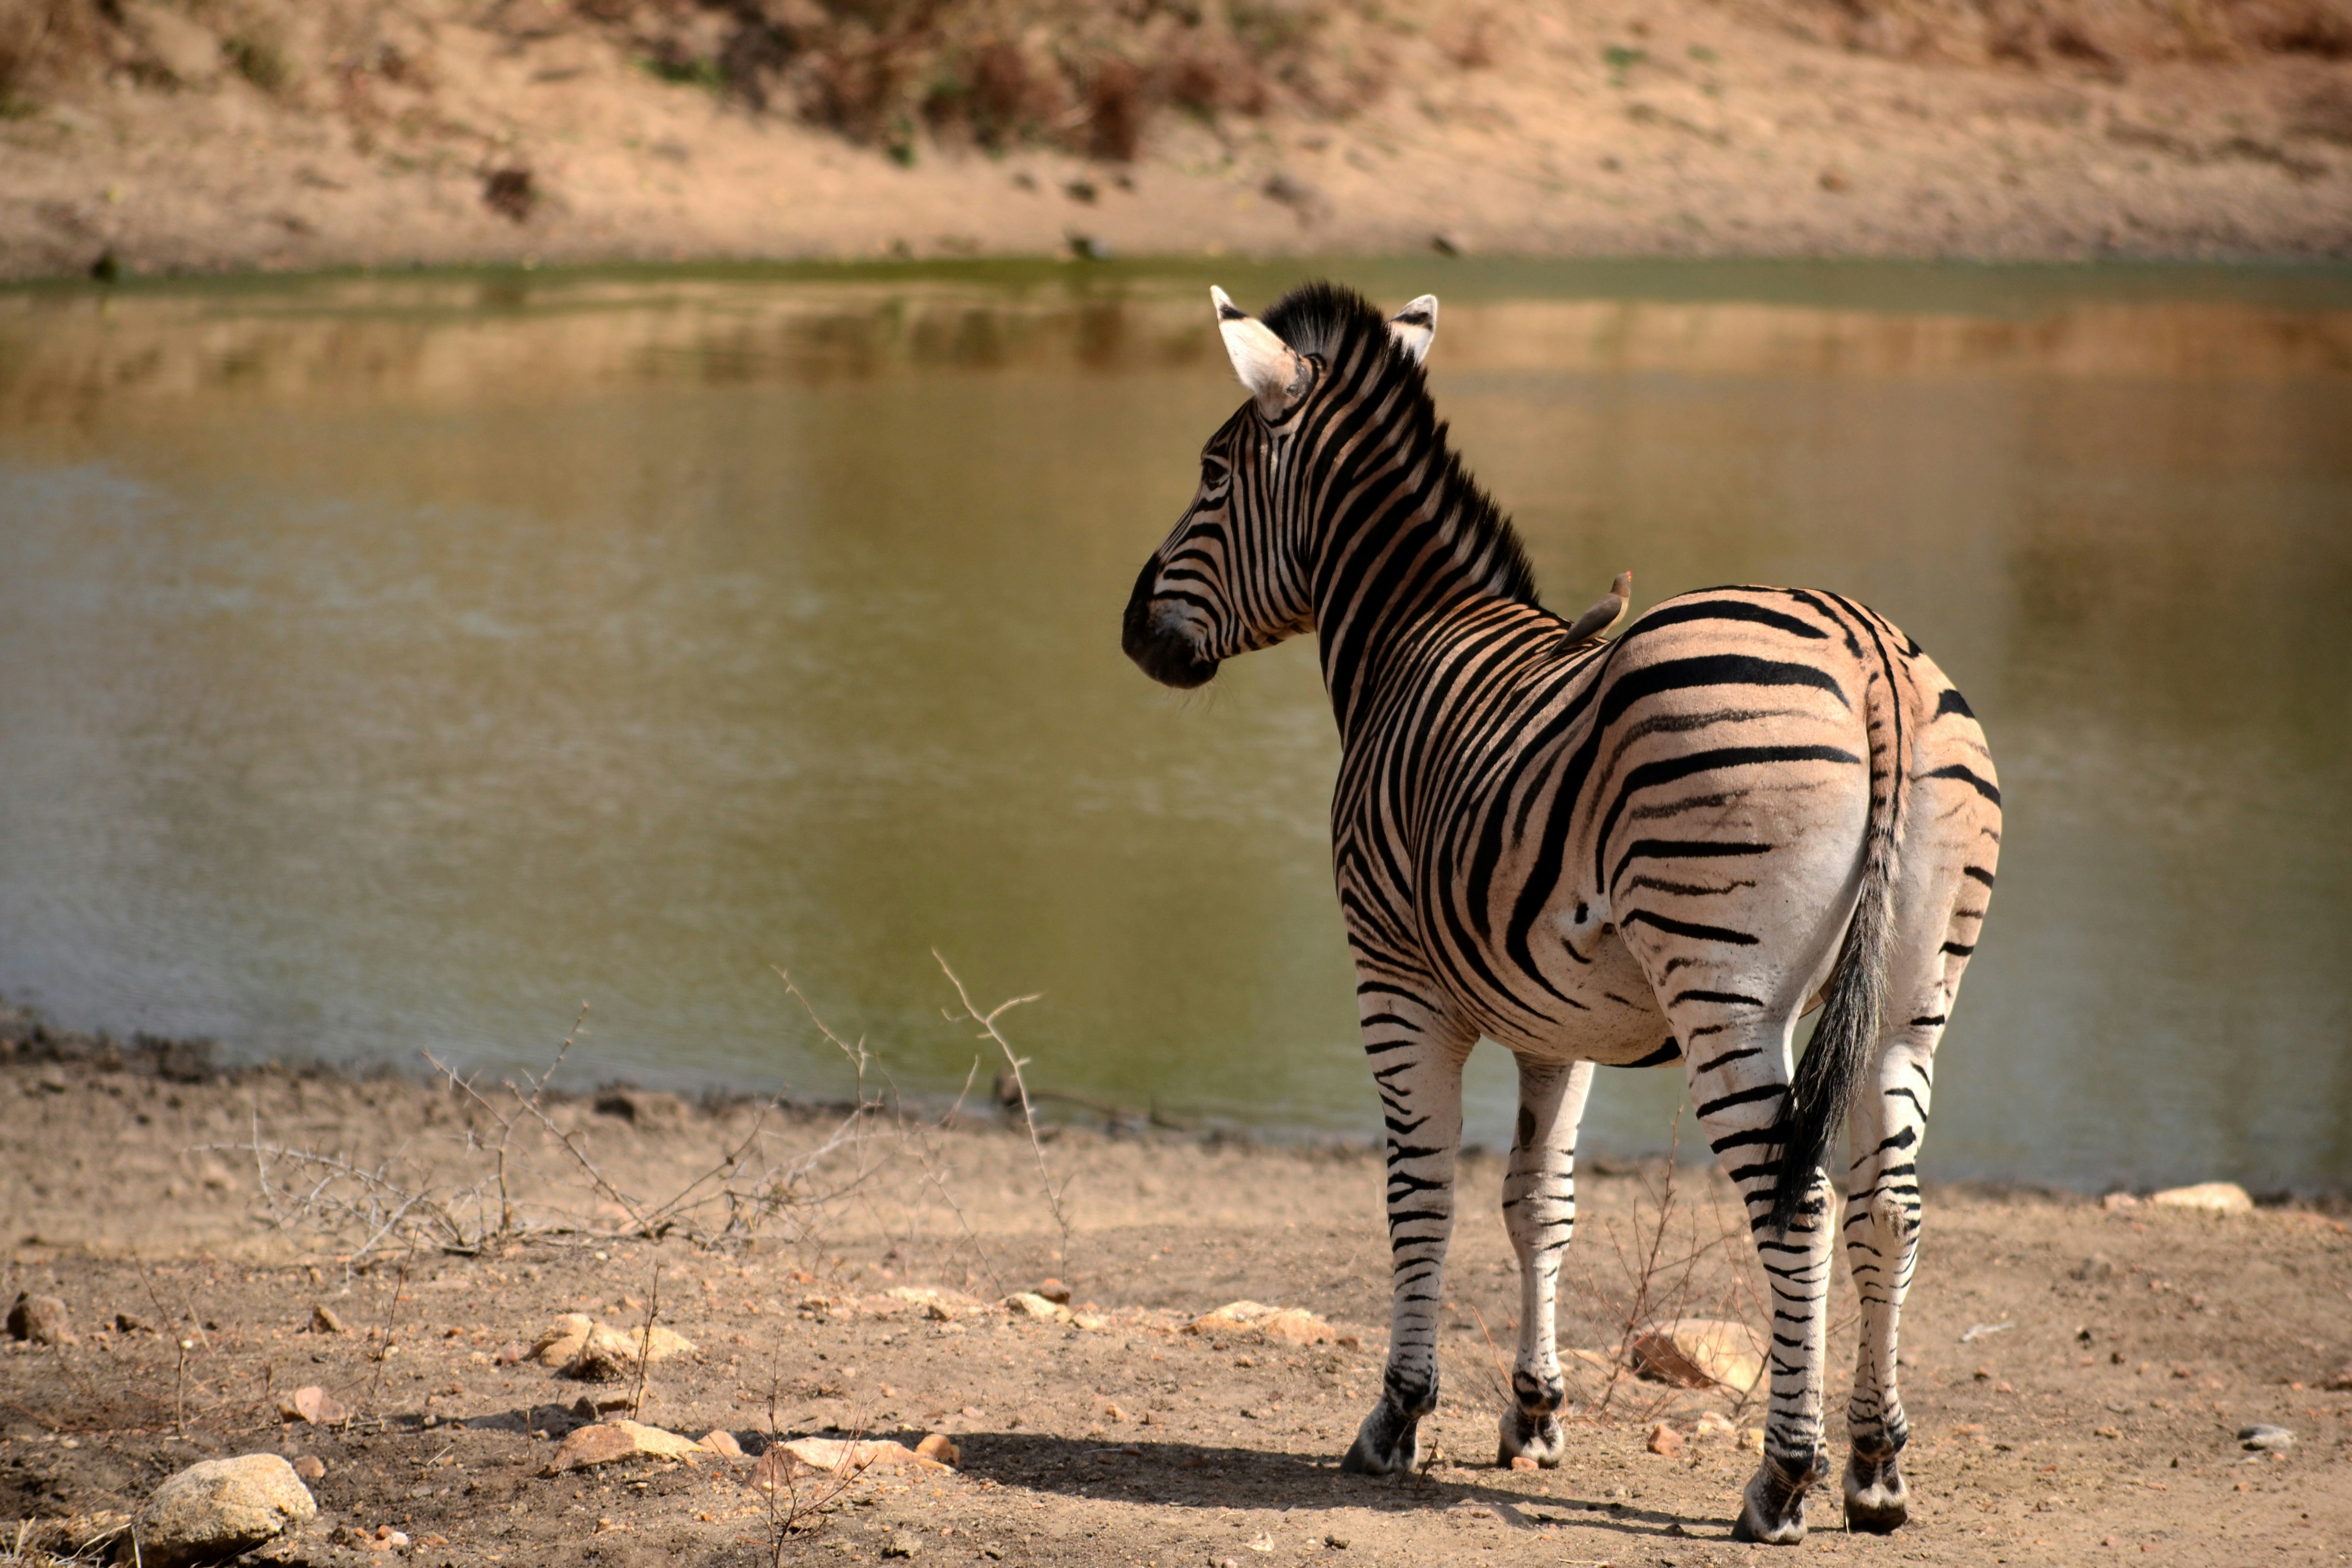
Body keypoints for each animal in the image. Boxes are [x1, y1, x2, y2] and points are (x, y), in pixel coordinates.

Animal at [1120, 282, 1999, 1544]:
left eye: (1208, 472)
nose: (1132, 631)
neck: (1408, 639)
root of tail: (1867, 646)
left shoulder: (1394, 981)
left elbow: (1421, 1191)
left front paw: (1397, 1417)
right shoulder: (1559, 1023)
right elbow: (1541, 1200)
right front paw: (1534, 1414)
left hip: (1723, 986)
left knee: (1800, 1204)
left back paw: (1782, 1481)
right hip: (1913, 994)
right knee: (1891, 1204)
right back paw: (1876, 1473)